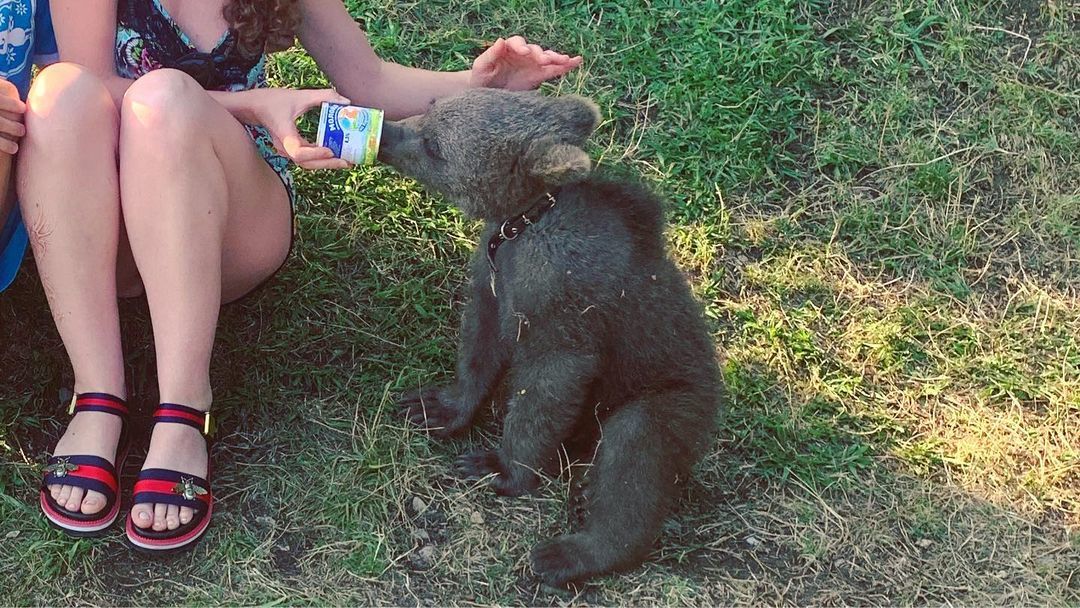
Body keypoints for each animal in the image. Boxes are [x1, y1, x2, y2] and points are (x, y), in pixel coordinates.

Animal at [378, 89, 723, 586]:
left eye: (435, 147)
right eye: (432, 105)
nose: (385, 132)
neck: (522, 221)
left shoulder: (565, 307)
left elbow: (547, 387)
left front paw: (500, 466)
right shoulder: (496, 278)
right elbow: (480, 343)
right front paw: (439, 407)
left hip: (670, 392)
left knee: (636, 455)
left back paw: (572, 553)